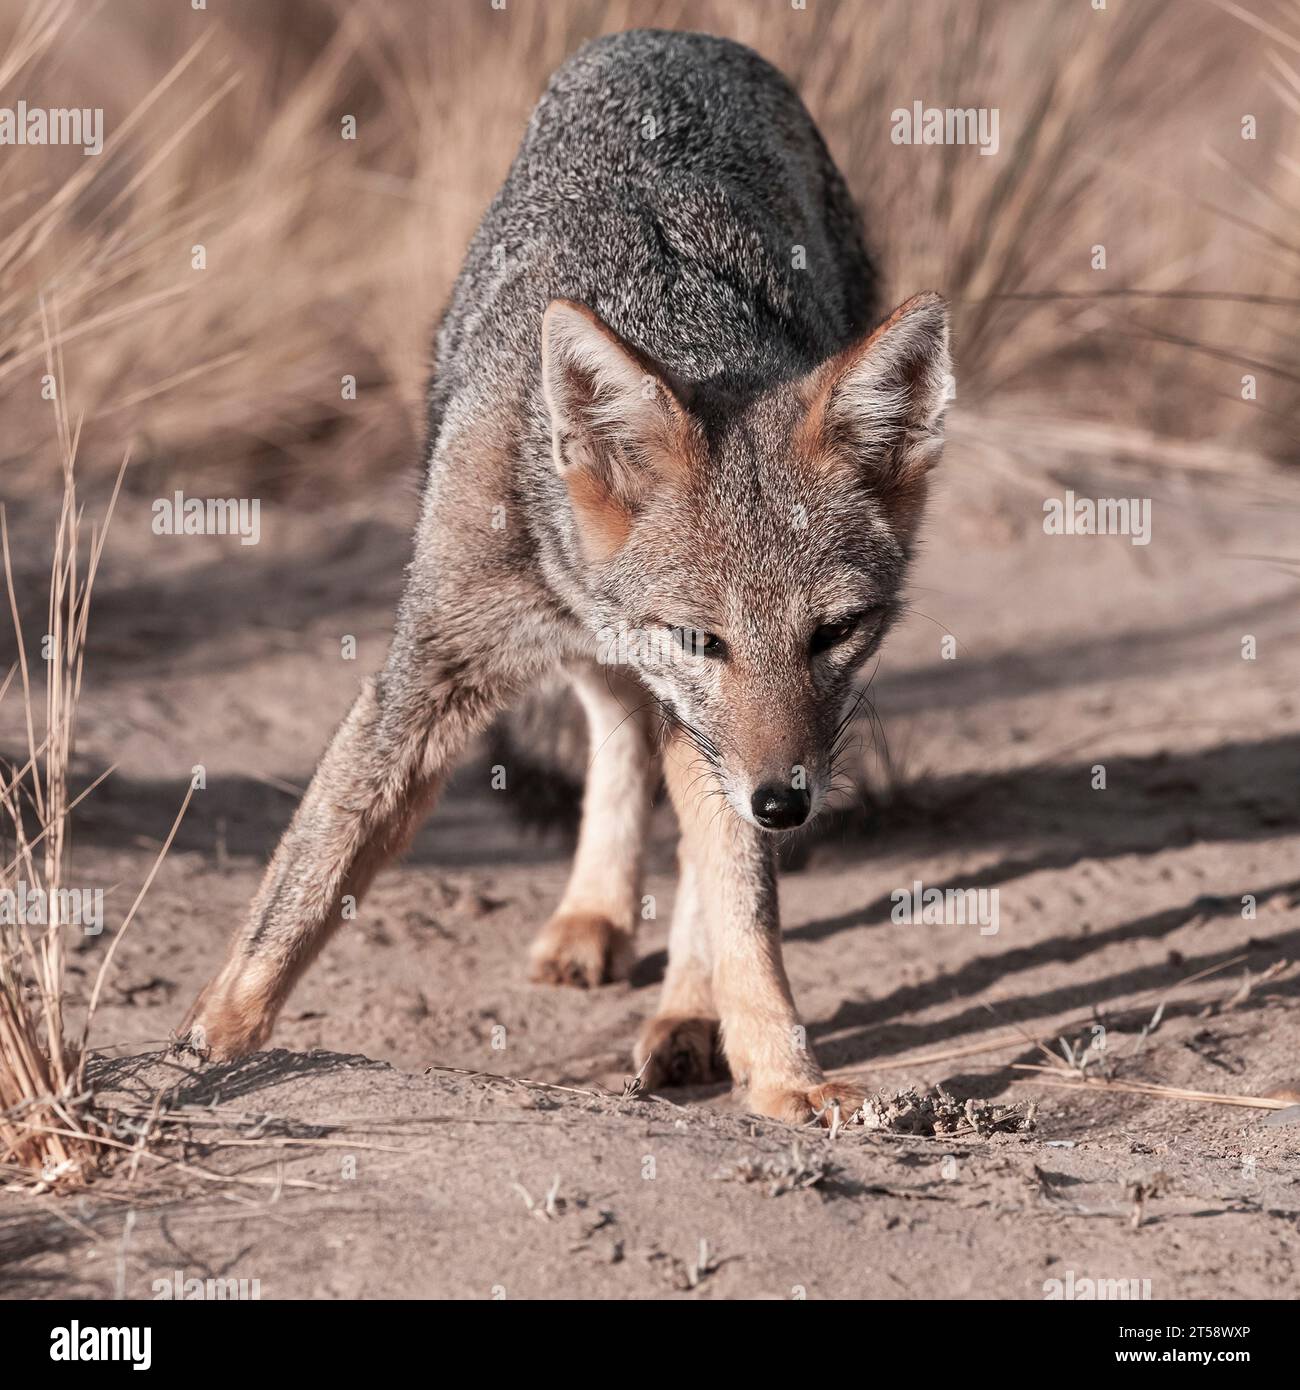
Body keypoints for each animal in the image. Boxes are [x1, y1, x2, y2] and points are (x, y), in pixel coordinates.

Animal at [180, 29, 952, 1124]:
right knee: (617, 735)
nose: (787, 804)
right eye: (702, 637)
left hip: (703, 732)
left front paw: (781, 1072)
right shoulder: (434, 666)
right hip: (624, 688)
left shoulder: (724, 741)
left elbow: (743, 908)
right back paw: (597, 916)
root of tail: (679, 36)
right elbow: (308, 873)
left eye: (833, 633)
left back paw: (684, 1017)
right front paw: (210, 1042)